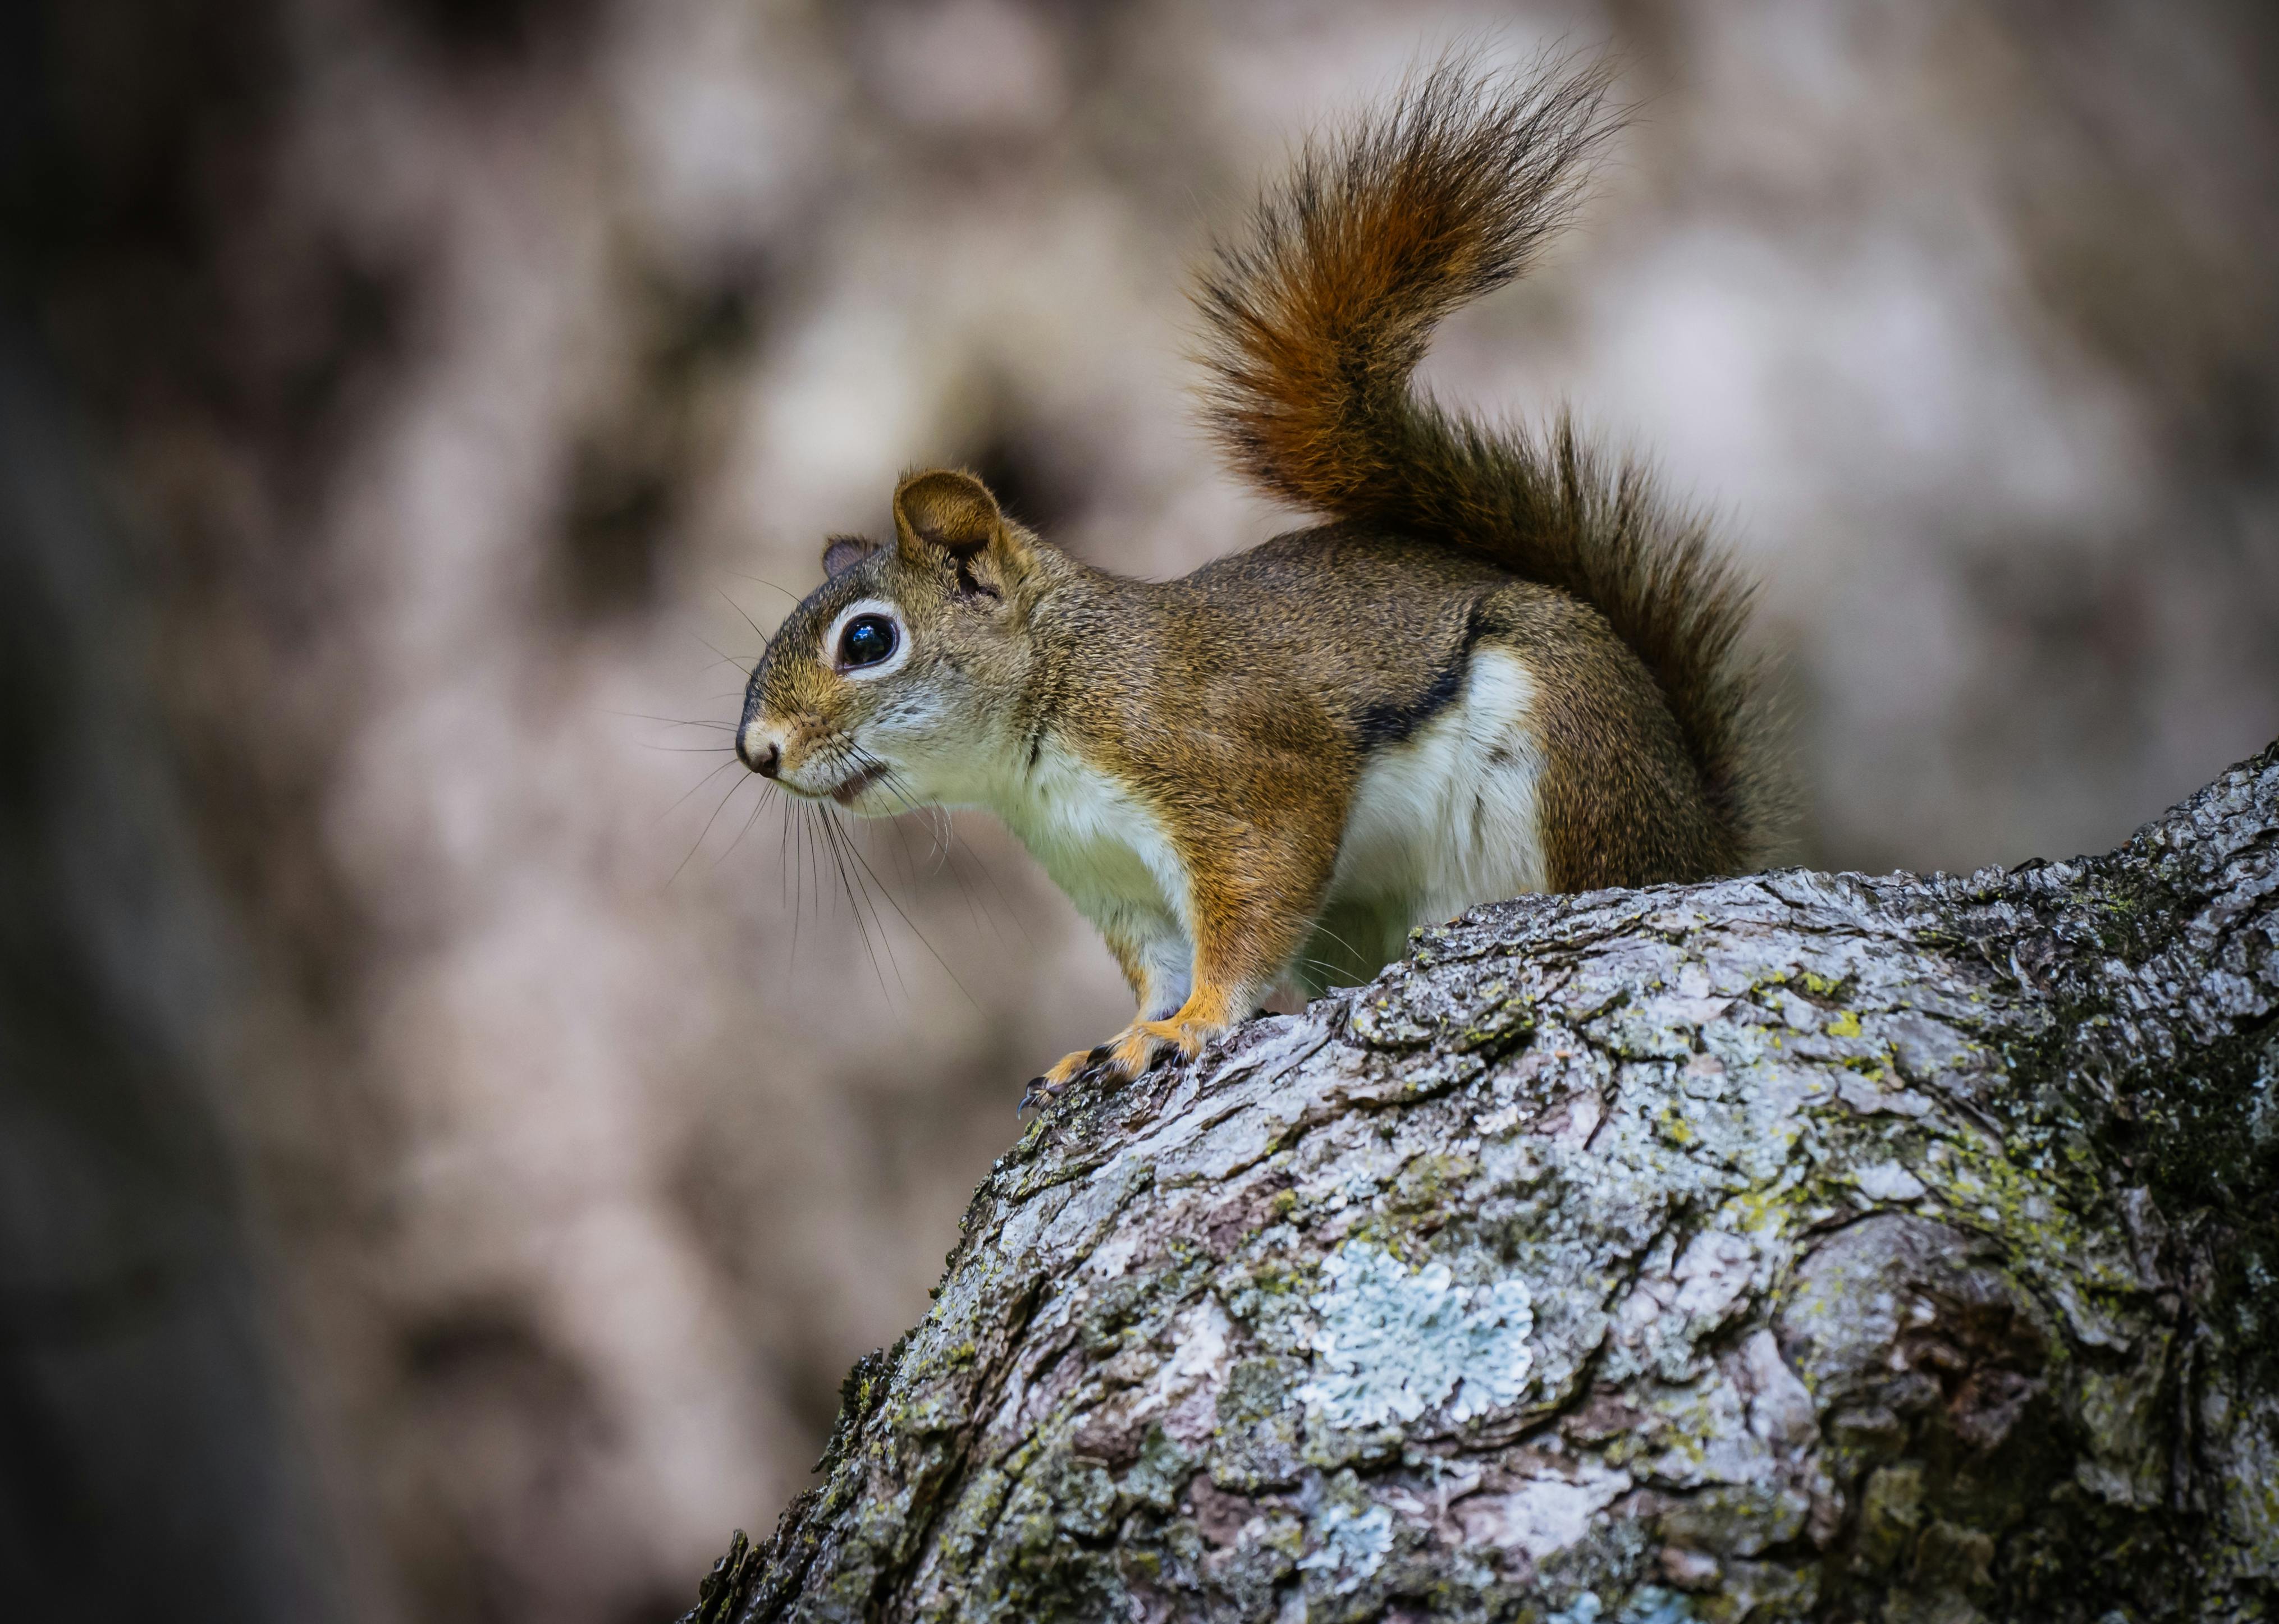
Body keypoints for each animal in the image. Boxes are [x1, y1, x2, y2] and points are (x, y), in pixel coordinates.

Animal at [735, 58, 1779, 1105]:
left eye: (869, 639)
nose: (757, 751)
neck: (1061, 698)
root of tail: (1703, 838)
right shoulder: (1115, 879)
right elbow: (1160, 965)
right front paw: (1119, 1037)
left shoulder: (1240, 775)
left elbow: (1249, 912)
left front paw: (1192, 1024)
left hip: (1572, 750)